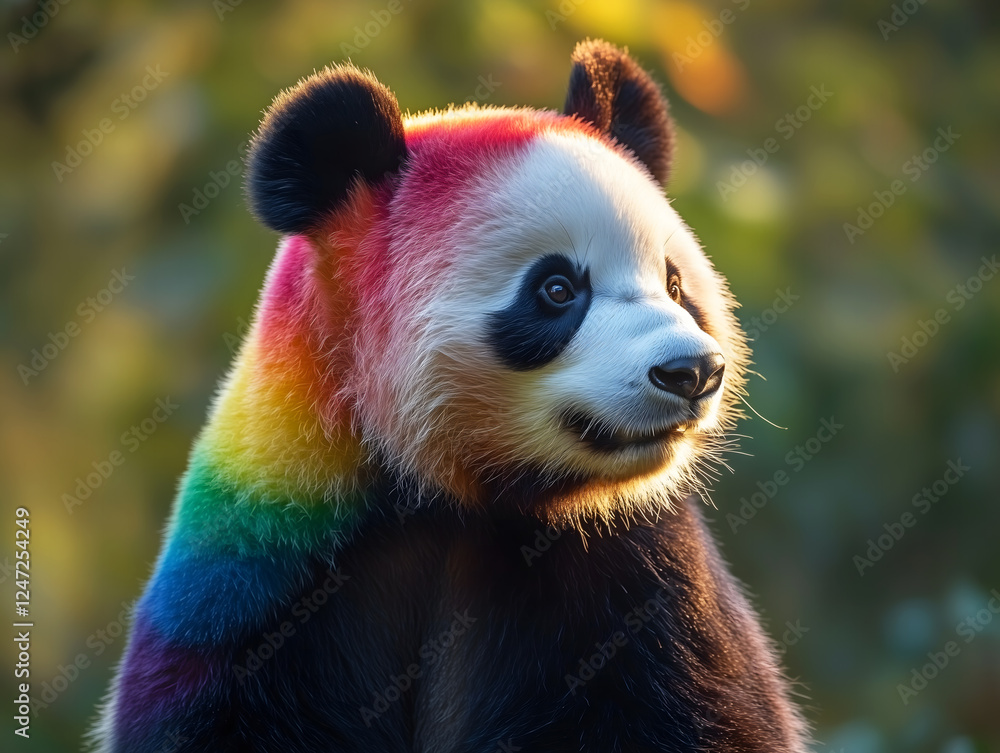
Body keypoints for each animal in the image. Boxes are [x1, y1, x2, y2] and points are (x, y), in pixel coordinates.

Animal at [92, 39, 809, 753]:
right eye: (556, 289)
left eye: (674, 283)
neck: (451, 498)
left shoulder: (639, 573)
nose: (692, 371)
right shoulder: (260, 576)